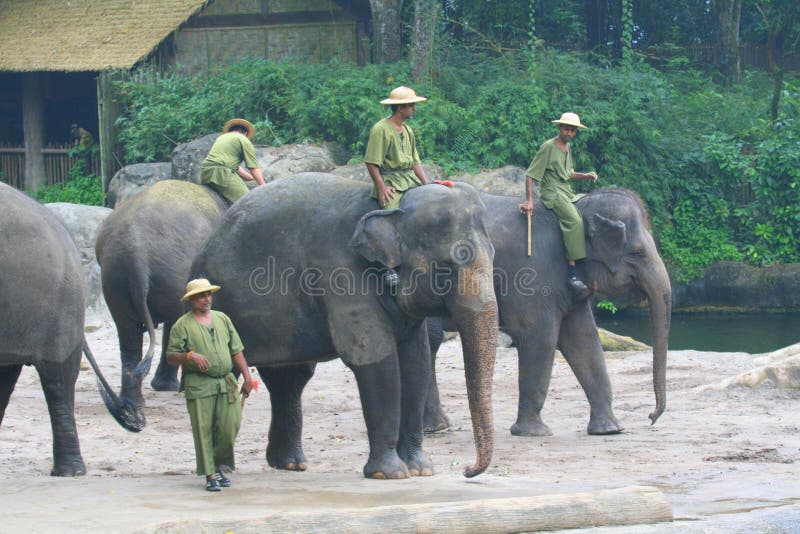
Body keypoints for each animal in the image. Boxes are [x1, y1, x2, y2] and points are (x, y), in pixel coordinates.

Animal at [95, 180, 228, 421]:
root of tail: (136, 250)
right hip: (171, 271)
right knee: (174, 320)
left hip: (114, 278)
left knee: (127, 332)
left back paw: (134, 404)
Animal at [190, 173, 499, 479]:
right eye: (447, 267)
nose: (467, 470)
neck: (391, 210)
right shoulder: (342, 274)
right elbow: (376, 361)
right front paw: (389, 474)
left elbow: (416, 361)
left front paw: (420, 470)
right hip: (221, 305)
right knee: (230, 371)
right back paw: (222, 469)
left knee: (290, 378)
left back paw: (290, 464)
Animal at [424, 188, 671, 437]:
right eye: (636, 253)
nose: (651, 417)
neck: (575, 209)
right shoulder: (531, 274)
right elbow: (540, 336)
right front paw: (533, 433)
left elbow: (584, 339)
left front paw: (610, 430)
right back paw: (435, 427)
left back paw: (436, 426)